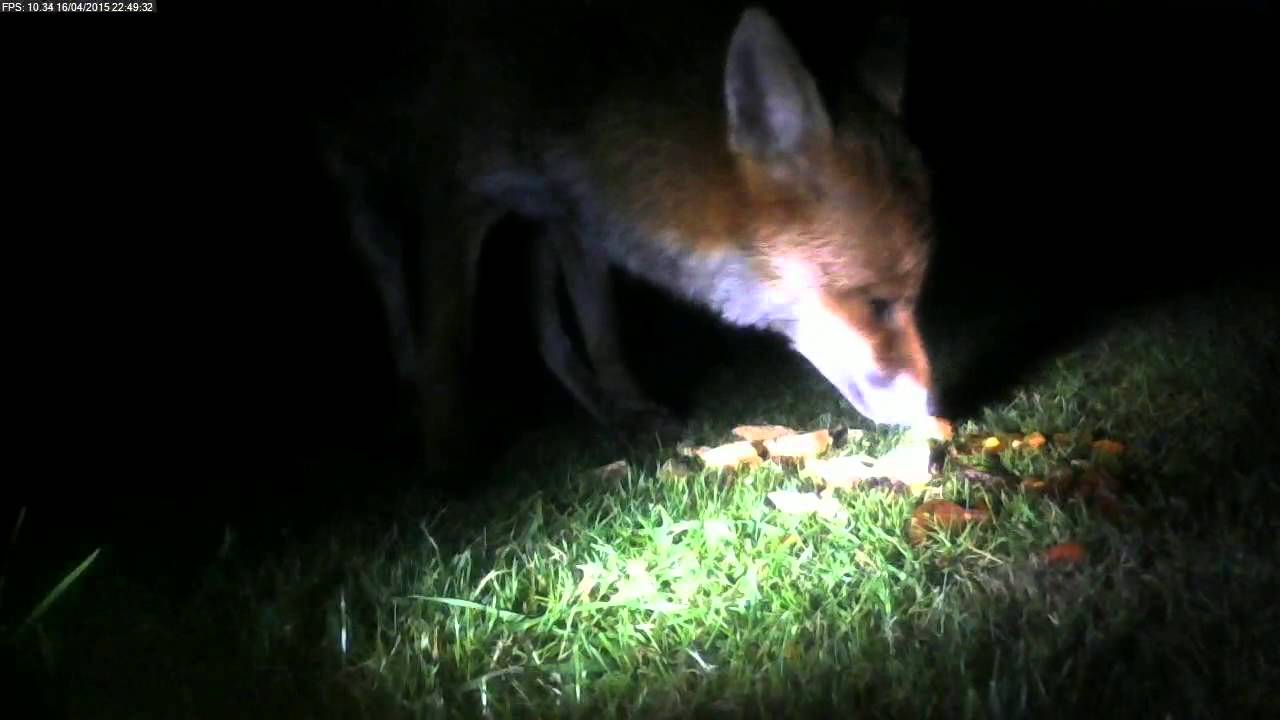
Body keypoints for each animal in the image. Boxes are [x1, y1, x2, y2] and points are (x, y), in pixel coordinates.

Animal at [324, 3, 937, 470]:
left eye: (911, 299)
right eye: (877, 304)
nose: (935, 406)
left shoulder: (574, 212)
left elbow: (603, 334)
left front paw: (632, 408)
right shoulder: (457, 192)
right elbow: (450, 345)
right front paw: (449, 459)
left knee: (544, 323)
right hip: (363, 187)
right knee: (388, 273)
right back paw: (412, 380)